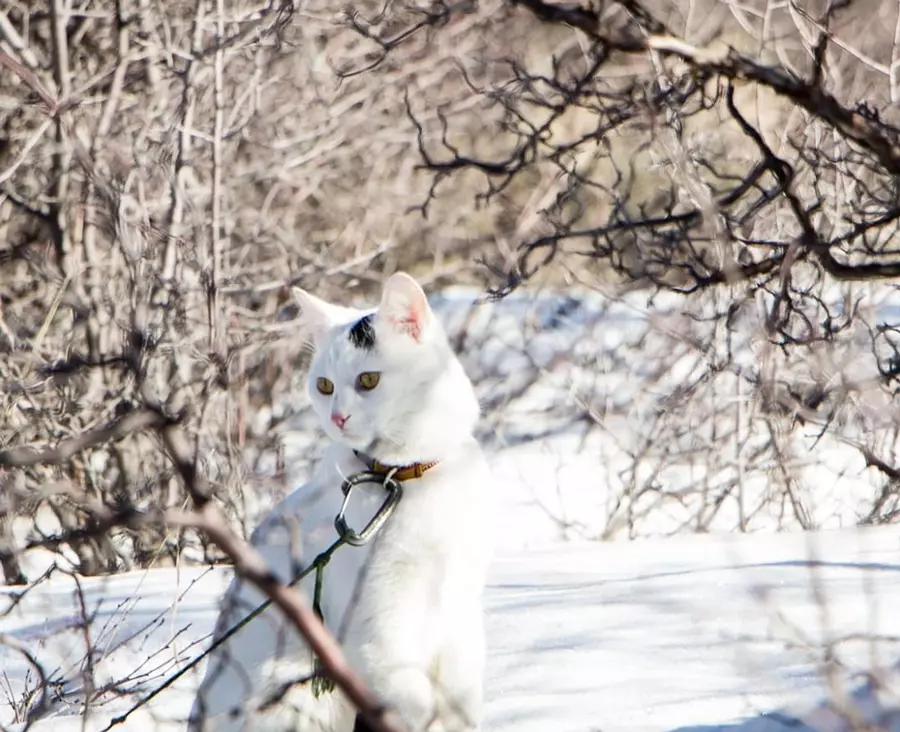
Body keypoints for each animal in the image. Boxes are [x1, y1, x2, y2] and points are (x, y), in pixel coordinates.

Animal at [188, 274, 492, 732]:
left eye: (368, 380)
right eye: (324, 386)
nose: (337, 418)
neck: (404, 479)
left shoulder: (458, 623)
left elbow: (461, 708)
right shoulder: (376, 636)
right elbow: (415, 710)